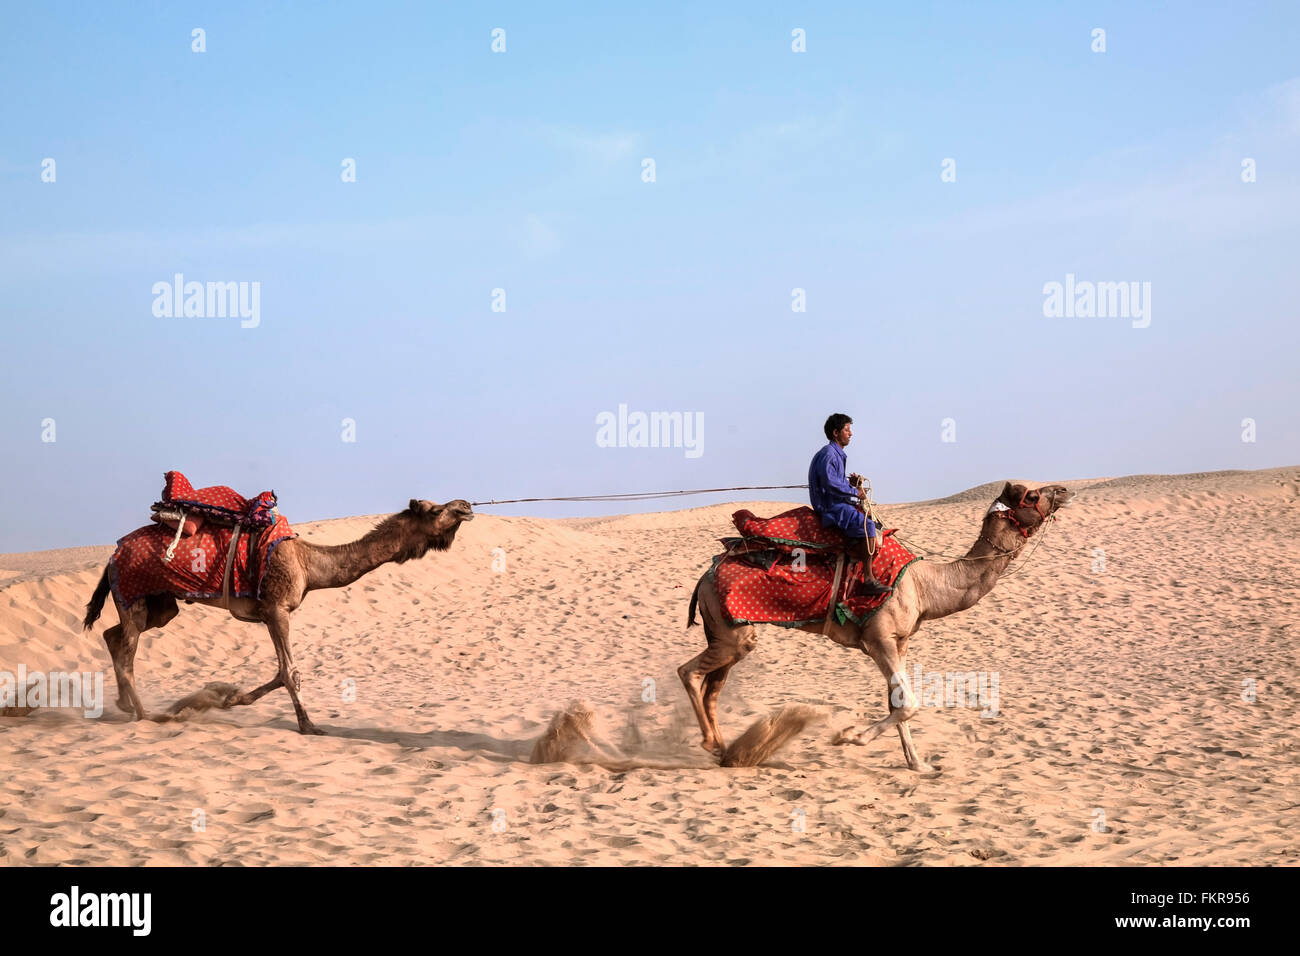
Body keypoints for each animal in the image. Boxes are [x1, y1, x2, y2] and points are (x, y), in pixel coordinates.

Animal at [82, 498, 474, 734]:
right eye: (436, 510)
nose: (466, 505)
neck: (309, 564)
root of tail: (112, 557)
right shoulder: (277, 608)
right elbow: (290, 671)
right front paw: (309, 725)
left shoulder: (272, 614)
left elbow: (280, 672)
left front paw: (230, 699)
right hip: (135, 594)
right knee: (128, 650)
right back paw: (148, 715)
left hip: (162, 604)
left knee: (113, 636)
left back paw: (125, 705)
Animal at [679, 482, 1072, 769]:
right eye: (1032, 495)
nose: (1064, 490)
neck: (924, 585)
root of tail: (705, 575)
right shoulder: (878, 637)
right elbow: (908, 703)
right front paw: (849, 737)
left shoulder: (899, 642)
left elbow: (897, 703)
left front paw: (918, 765)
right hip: (730, 630)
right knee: (690, 673)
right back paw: (711, 744)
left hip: (728, 634)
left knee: (713, 686)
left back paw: (725, 750)